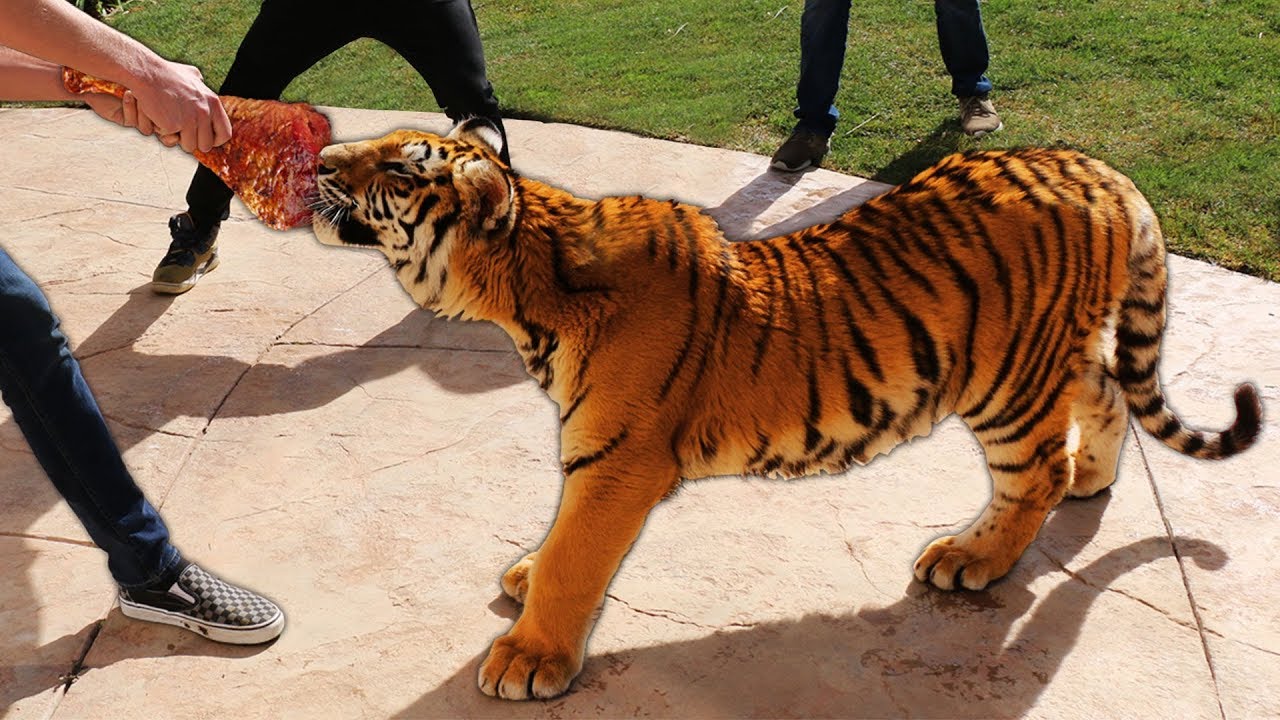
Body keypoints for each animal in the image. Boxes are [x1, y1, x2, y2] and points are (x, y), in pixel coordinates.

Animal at [310, 118, 1262, 700]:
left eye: (395, 166)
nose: (318, 161)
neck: (526, 294)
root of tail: (1097, 167)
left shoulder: (616, 460)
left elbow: (577, 555)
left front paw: (528, 658)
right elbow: (559, 542)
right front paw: (527, 579)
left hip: (1006, 382)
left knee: (1036, 472)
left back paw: (970, 557)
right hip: (1052, 355)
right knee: (1104, 393)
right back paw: (1094, 482)